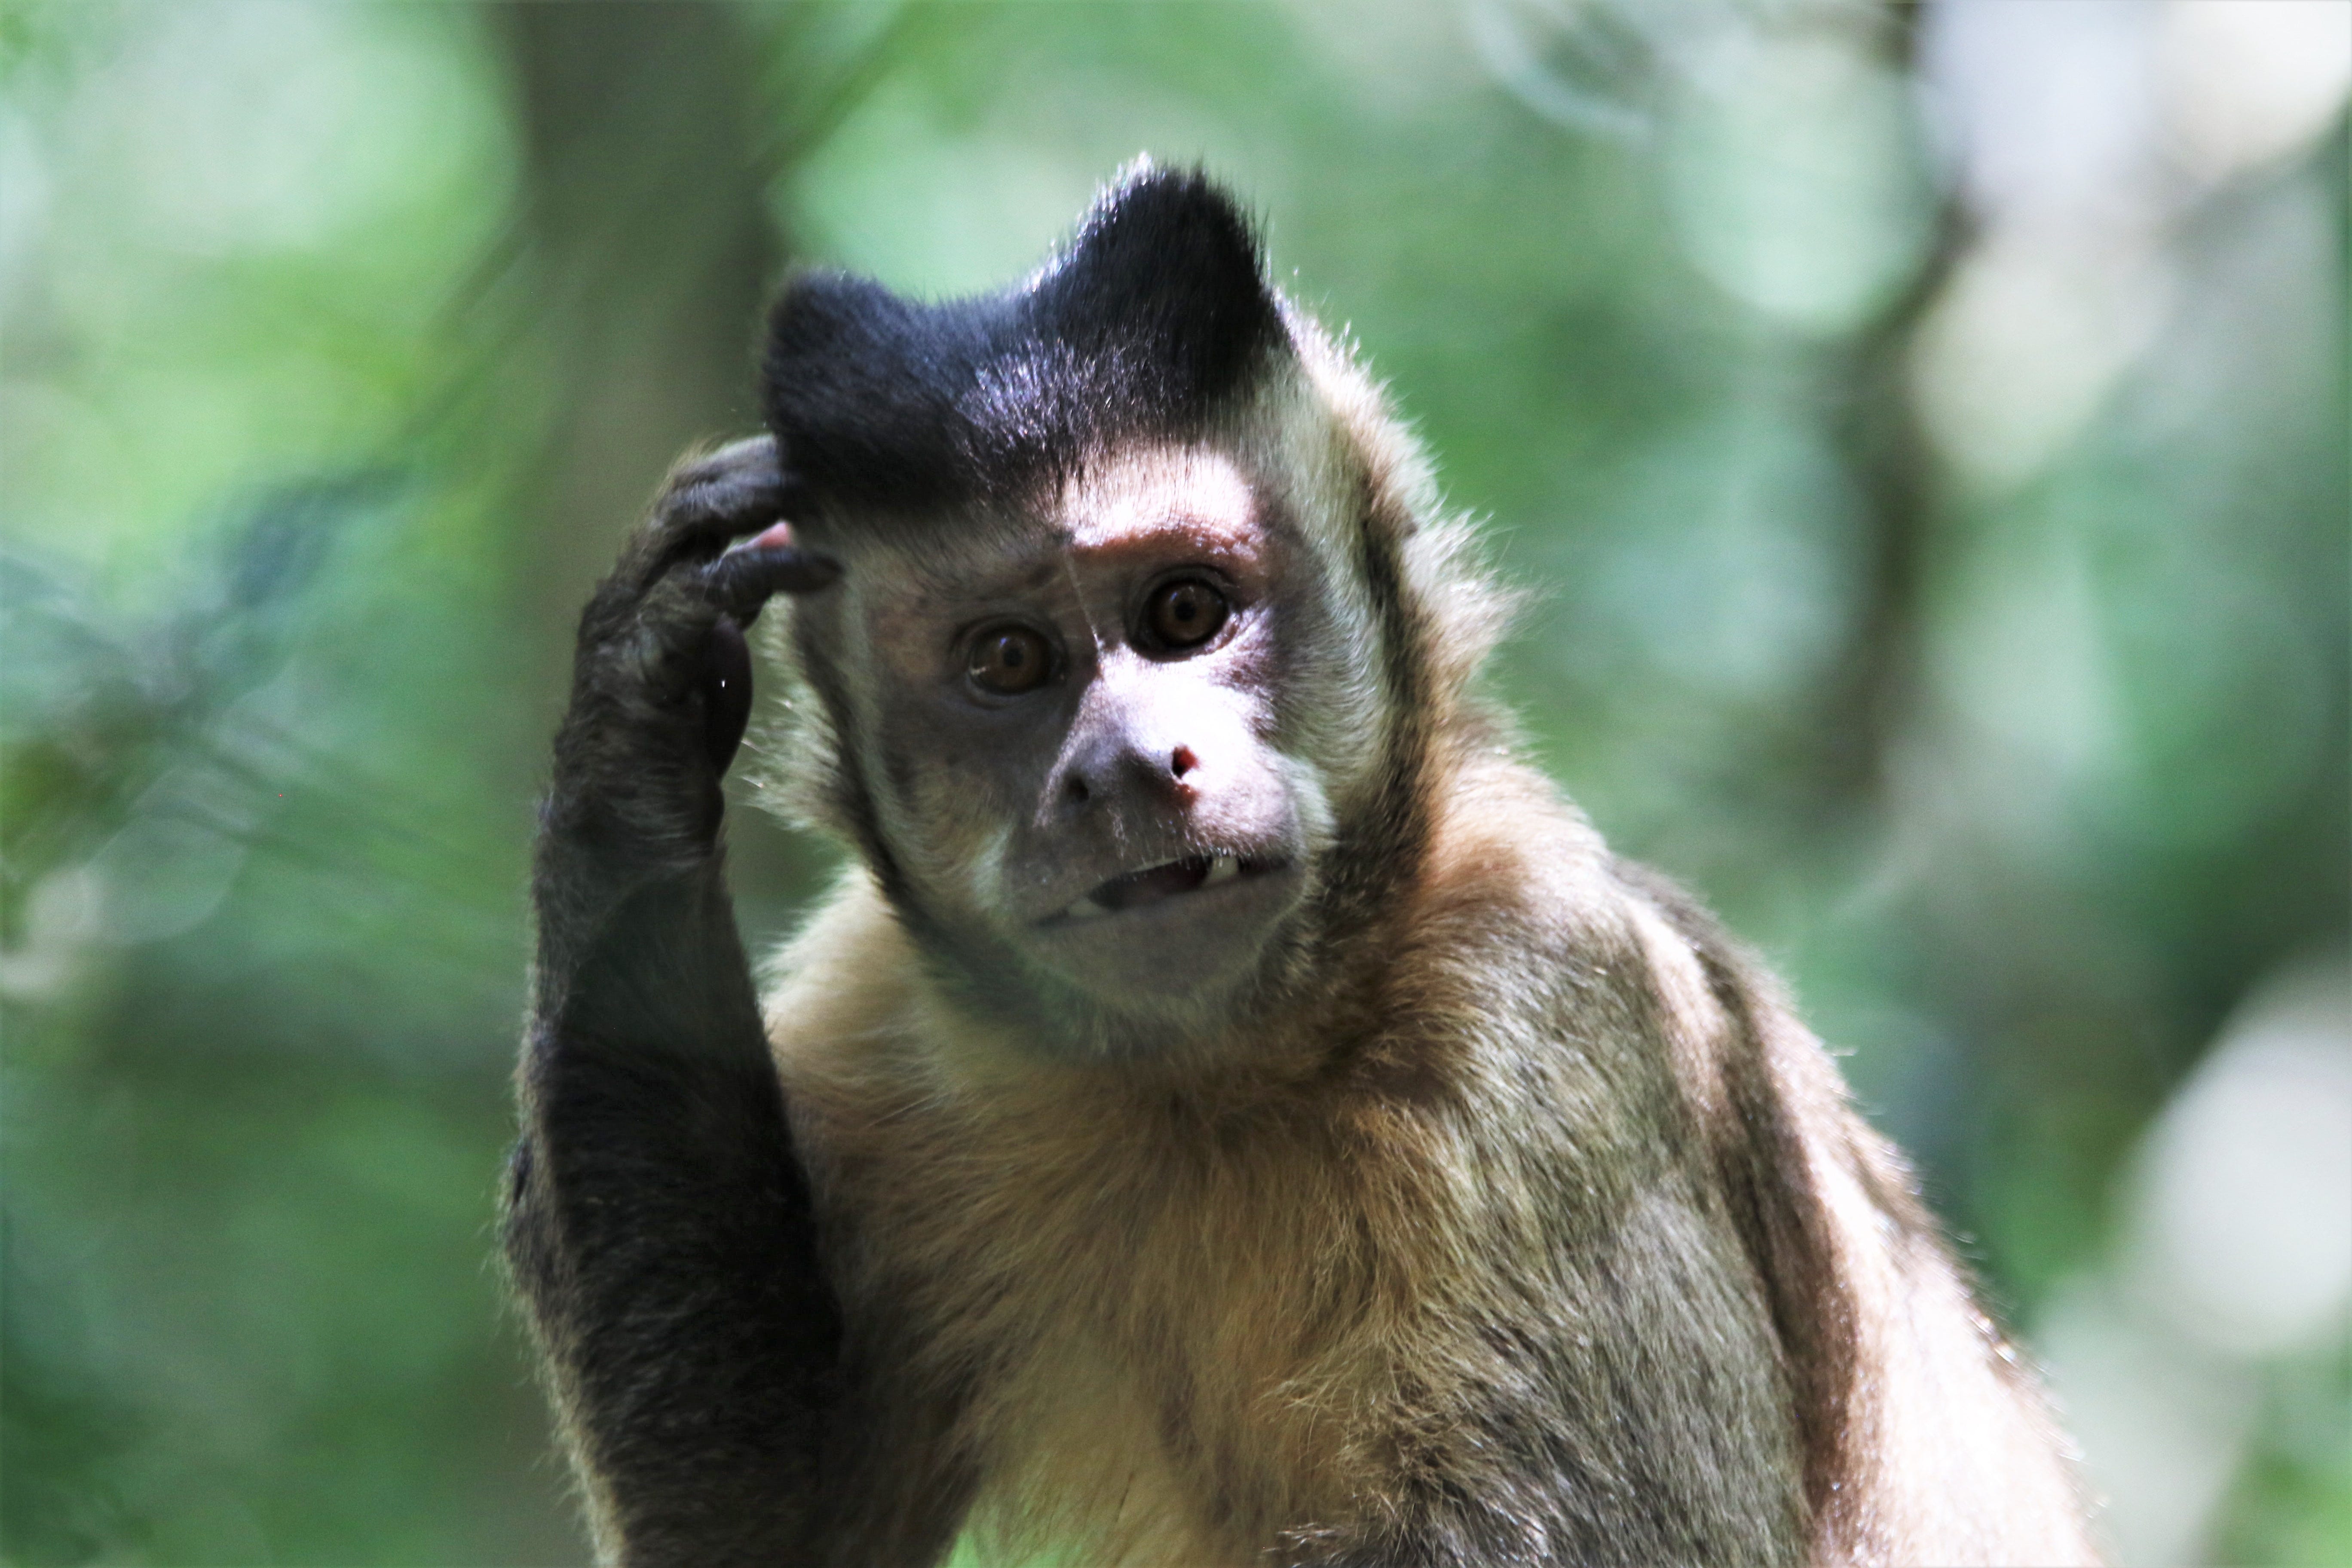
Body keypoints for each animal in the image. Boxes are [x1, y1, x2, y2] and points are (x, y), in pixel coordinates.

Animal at [504, 165, 2097, 1567]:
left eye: (1185, 610)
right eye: (1007, 660)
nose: (1127, 763)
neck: (1223, 1077)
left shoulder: (1547, 993)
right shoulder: (875, 993)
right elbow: (771, 1534)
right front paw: (634, 736)